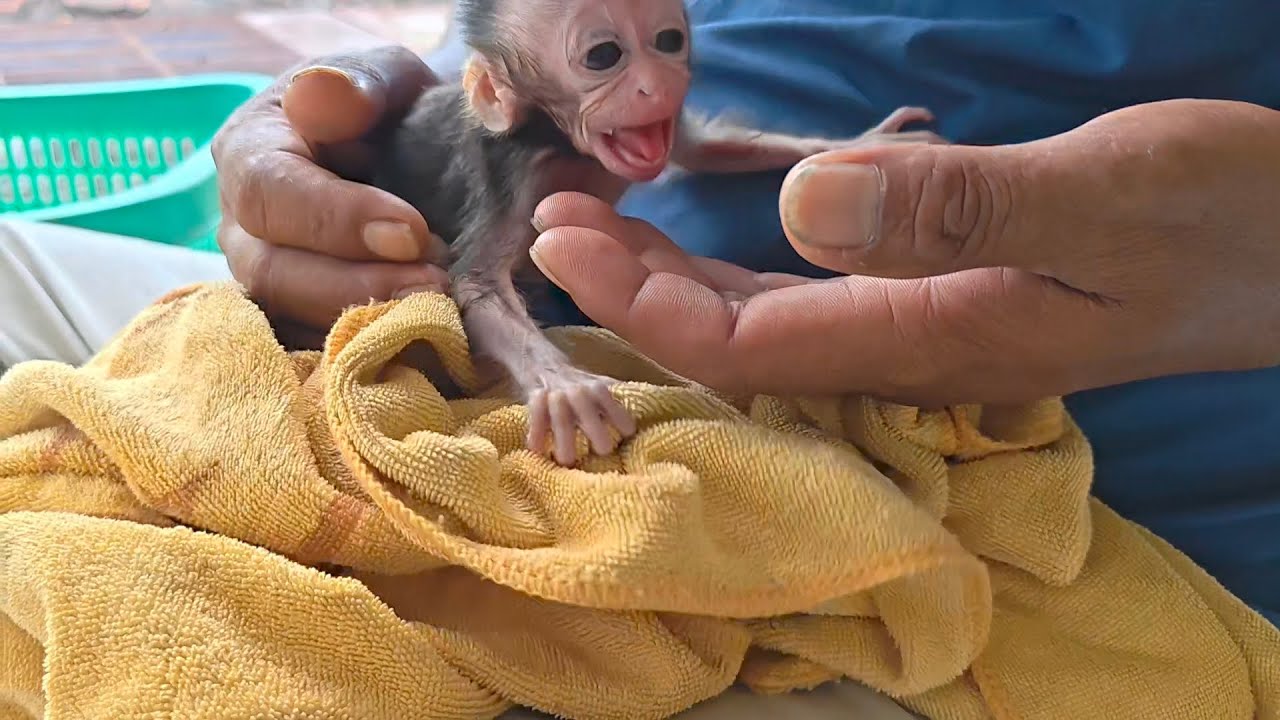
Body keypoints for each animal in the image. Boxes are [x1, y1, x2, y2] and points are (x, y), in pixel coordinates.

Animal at [368, 0, 944, 466]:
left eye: (669, 41)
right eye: (604, 55)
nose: (660, 84)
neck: (562, 142)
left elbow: (703, 149)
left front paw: (866, 143)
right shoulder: (508, 165)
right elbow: (478, 280)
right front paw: (564, 386)